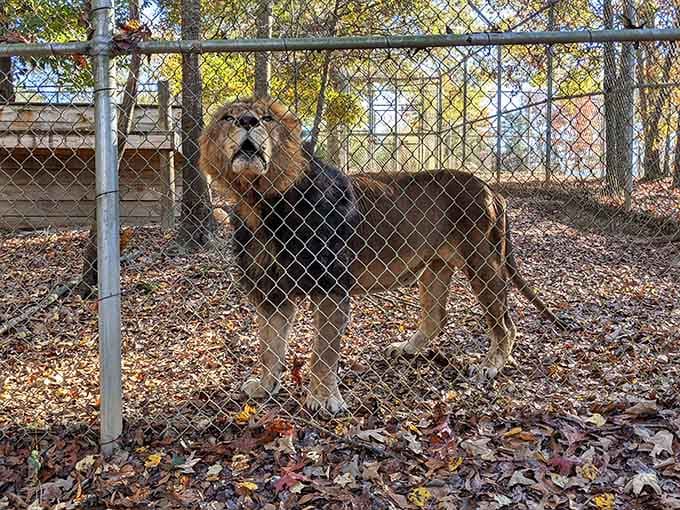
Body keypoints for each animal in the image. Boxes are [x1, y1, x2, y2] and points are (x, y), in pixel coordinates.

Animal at [200, 97, 570, 415]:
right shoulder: (269, 293)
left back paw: (489, 366)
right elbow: (268, 346)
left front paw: (324, 399)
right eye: (228, 117)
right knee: (435, 318)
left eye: (267, 118)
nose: (248, 121)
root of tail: (491, 188)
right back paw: (407, 348)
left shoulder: (331, 288)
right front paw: (265, 386)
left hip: (483, 262)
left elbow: (323, 352)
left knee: (504, 323)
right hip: (434, 267)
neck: (260, 204)